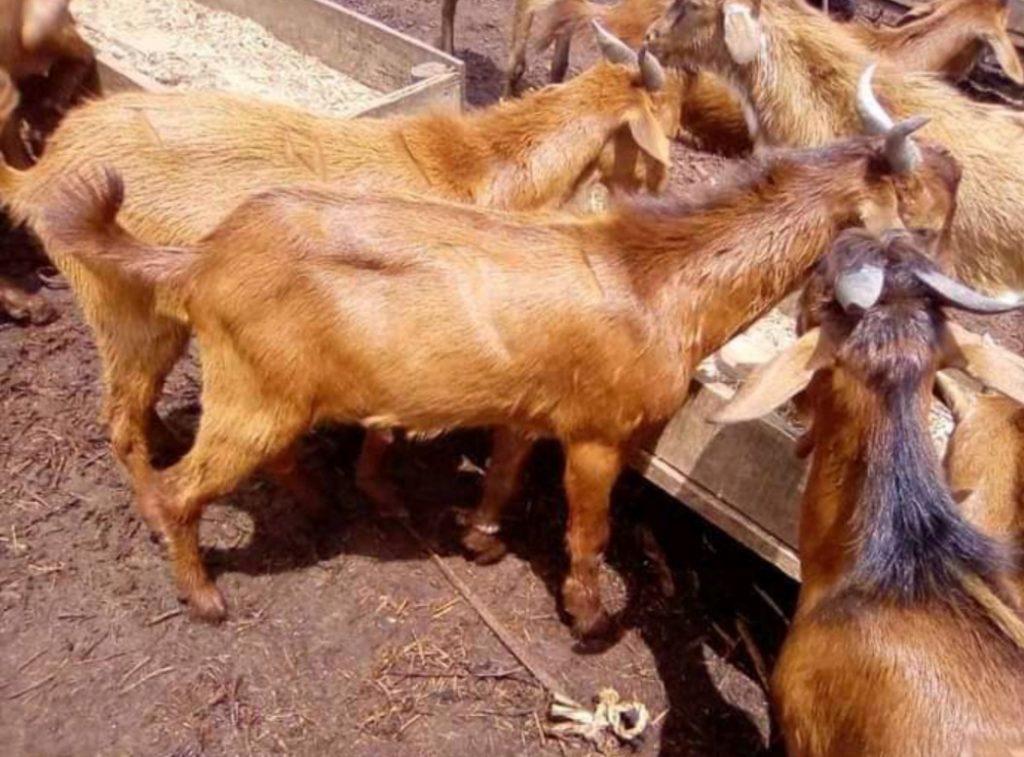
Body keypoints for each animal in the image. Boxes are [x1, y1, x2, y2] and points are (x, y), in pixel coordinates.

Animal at [0, 32, 679, 507]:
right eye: (668, 125)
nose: (662, 186)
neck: (476, 171)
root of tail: (45, 170)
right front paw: (379, 494)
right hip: (127, 308)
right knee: (118, 418)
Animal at [37, 76, 956, 633]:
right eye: (926, 203)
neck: (660, 277)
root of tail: (204, 260)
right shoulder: (599, 432)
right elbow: (590, 525)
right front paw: (589, 613)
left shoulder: (534, 405)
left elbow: (508, 472)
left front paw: (479, 541)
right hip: (252, 395)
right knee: (179, 486)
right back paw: (202, 593)